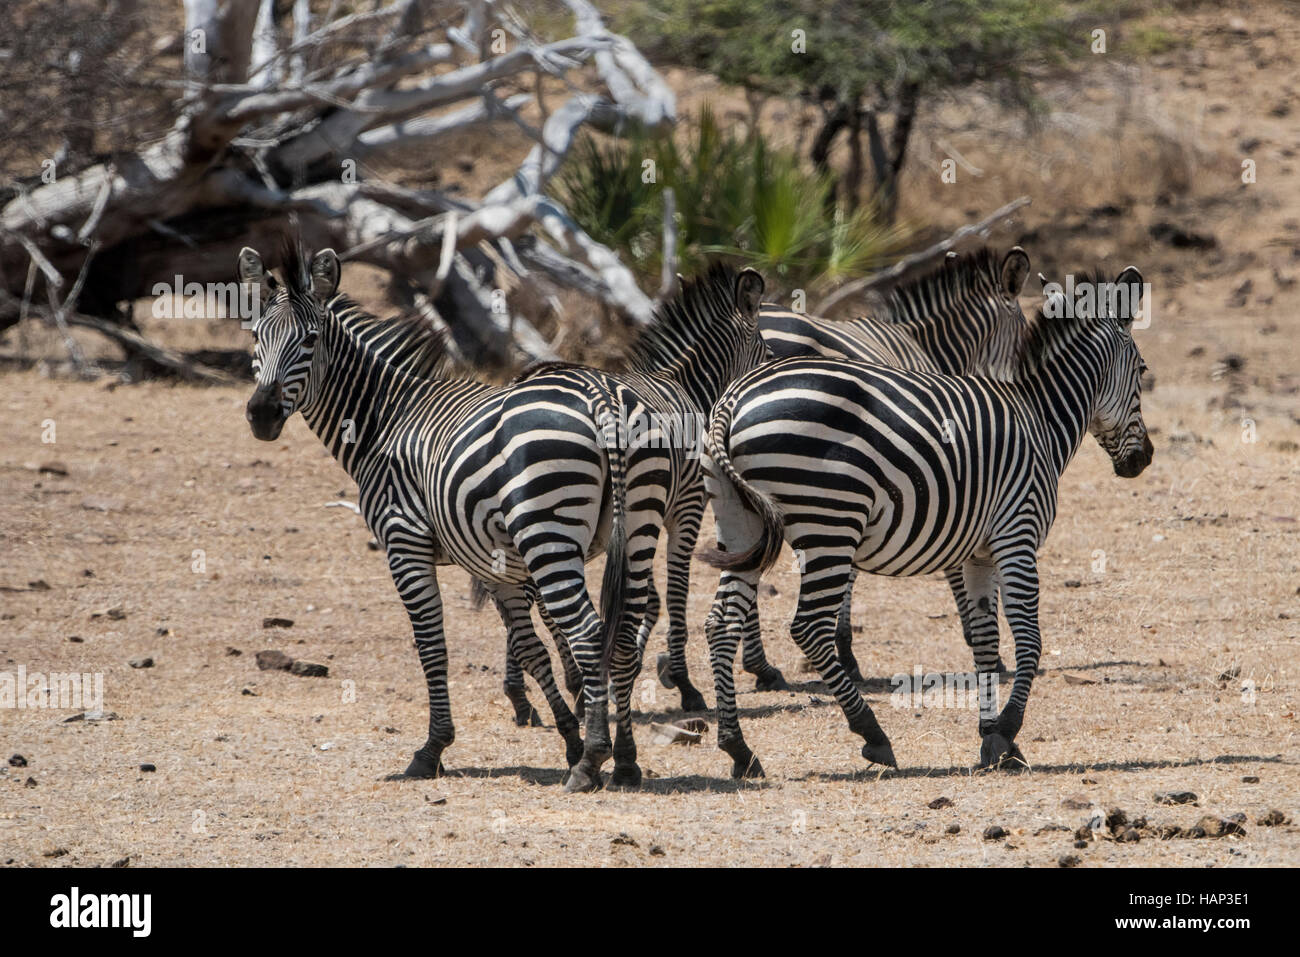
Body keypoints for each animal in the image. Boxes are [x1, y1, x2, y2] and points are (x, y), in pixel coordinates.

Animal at [240, 238, 766, 790]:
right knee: (617, 632)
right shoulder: (495, 564)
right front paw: (566, 734)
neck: (386, 418)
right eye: (255, 337)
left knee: (590, 633)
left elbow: (432, 644)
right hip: (635, 523)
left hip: (553, 530)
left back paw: (594, 760)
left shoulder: (404, 542)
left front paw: (433, 749)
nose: (261, 415)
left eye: (310, 340)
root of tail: (602, 395)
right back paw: (623, 762)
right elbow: (532, 648)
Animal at [699, 266, 1152, 777]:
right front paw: (1009, 729)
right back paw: (873, 735)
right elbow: (1029, 637)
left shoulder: (980, 552)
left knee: (721, 624)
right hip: (829, 523)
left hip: (740, 522)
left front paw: (991, 736)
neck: (1040, 417)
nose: (1144, 460)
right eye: (1142, 371)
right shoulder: (1018, 533)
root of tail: (733, 398)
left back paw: (739, 749)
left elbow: (985, 639)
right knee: (809, 627)